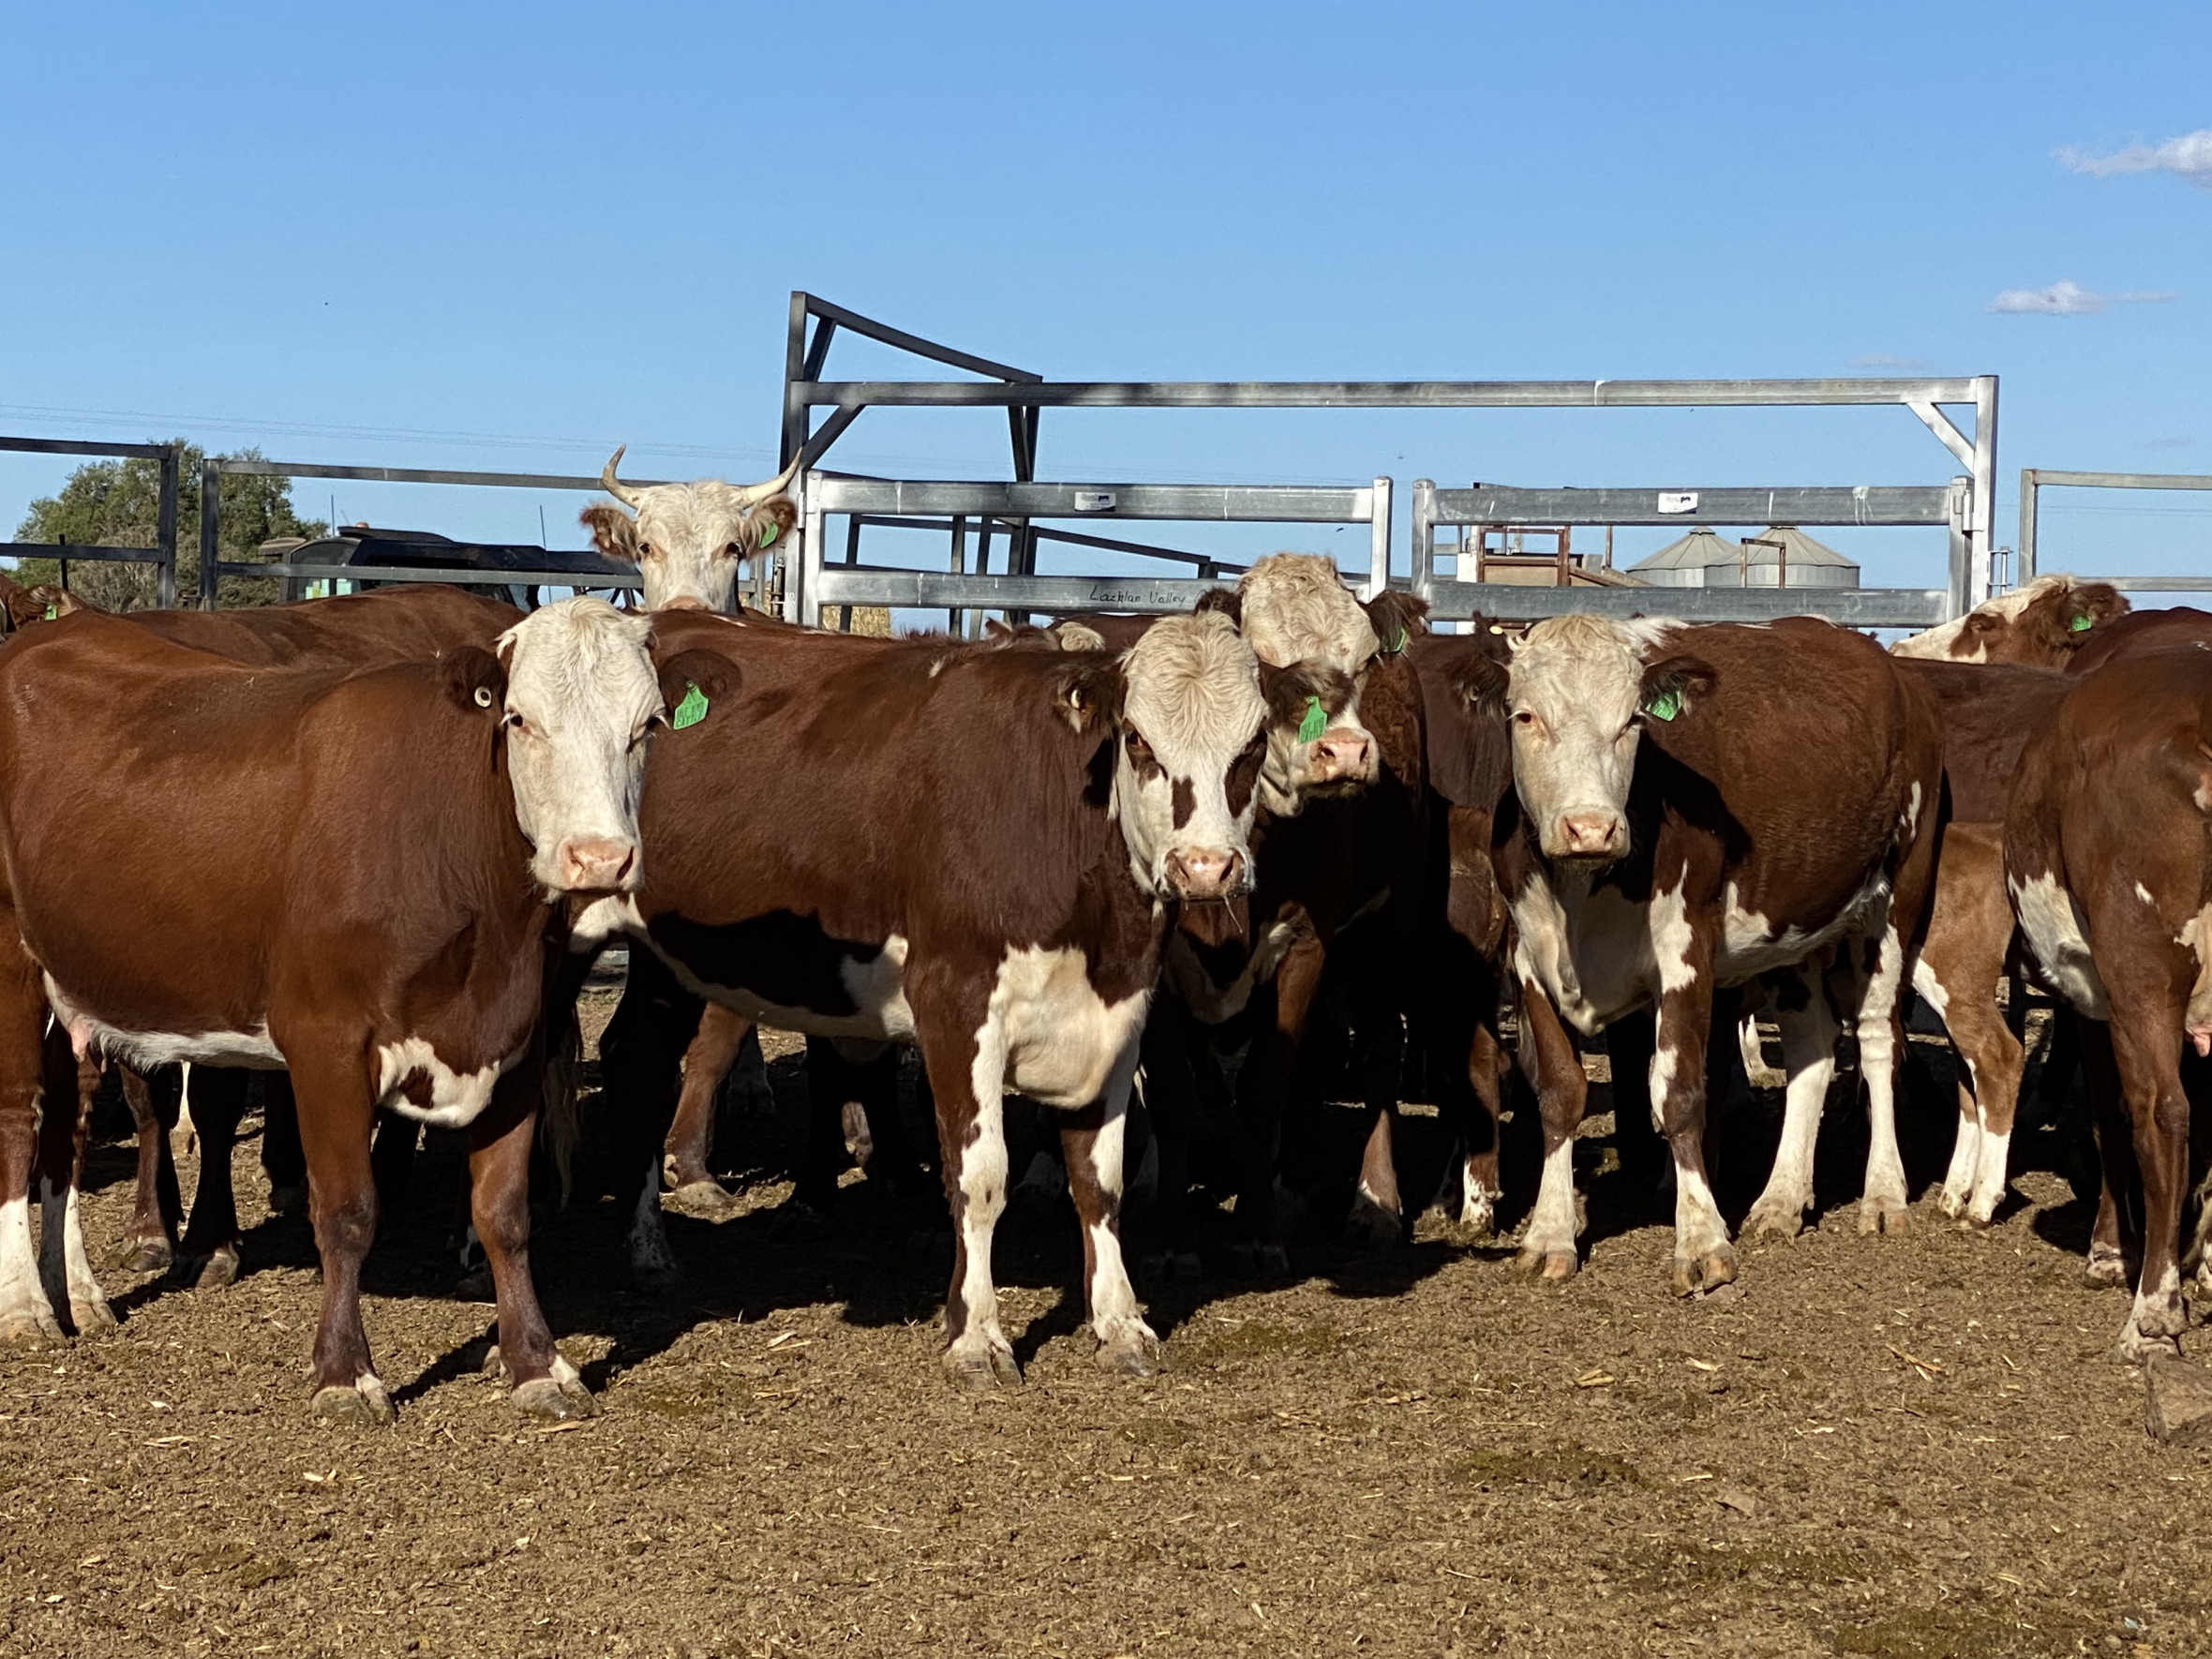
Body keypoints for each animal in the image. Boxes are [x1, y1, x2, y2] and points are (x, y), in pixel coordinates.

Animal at [0, 597, 664, 1424]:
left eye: (648, 724)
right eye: (519, 720)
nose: (599, 859)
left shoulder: (516, 1041)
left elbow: (505, 1213)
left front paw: (537, 1363)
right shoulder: (325, 1043)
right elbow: (346, 1211)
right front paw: (345, 1374)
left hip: (70, 976)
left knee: (66, 1126)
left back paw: (79, 1293)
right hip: (10, 962)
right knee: (19, 1118)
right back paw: (26, 1304)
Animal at [573, 608, 1269, 1383]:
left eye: (1256, 742)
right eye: (1138, 740)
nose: (1205, 867)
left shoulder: (1116, 1014)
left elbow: (1100, 1179)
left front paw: (1120, 1324)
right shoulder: (955, 1003)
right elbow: (979, 1176)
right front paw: (976, 1337)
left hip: (665, 960)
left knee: (635, 1058)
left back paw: (649, 1251)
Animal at [1449, 614, 1942, 1292]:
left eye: (1633, 720)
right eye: (1525, 716)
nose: (1590, 827)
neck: (1585, 892)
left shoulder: (1685, 954)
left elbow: (1679, 1095)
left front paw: (1702, 1241)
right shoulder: (1531, 959)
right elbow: (1558, 1093)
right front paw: (1550, 1235)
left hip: (1895, 899)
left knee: (1876, 1042)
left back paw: (1885, 1194)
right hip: (1796, 929)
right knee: (1811, 1048)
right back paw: (1781, 1199)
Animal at [2005, 646, 2212, 1361]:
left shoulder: (2090, 996)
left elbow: (2108, 1114)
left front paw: (2107, 1252)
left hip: (2136, 970)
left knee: (2162, 1112)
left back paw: (2152, 1312)